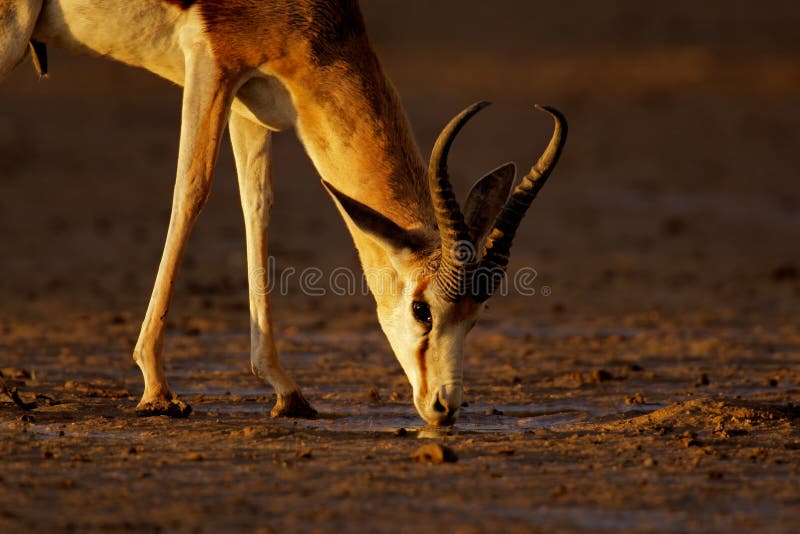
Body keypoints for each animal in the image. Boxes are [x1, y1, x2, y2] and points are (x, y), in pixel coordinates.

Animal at [3, 0, 564, 428]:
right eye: (422, 309)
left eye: (477, 315)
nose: (444, 407)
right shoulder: (212, 63)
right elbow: (192, 191)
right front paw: (157, 389)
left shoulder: (249, 102)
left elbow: (257, 205)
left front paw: (286, 390)